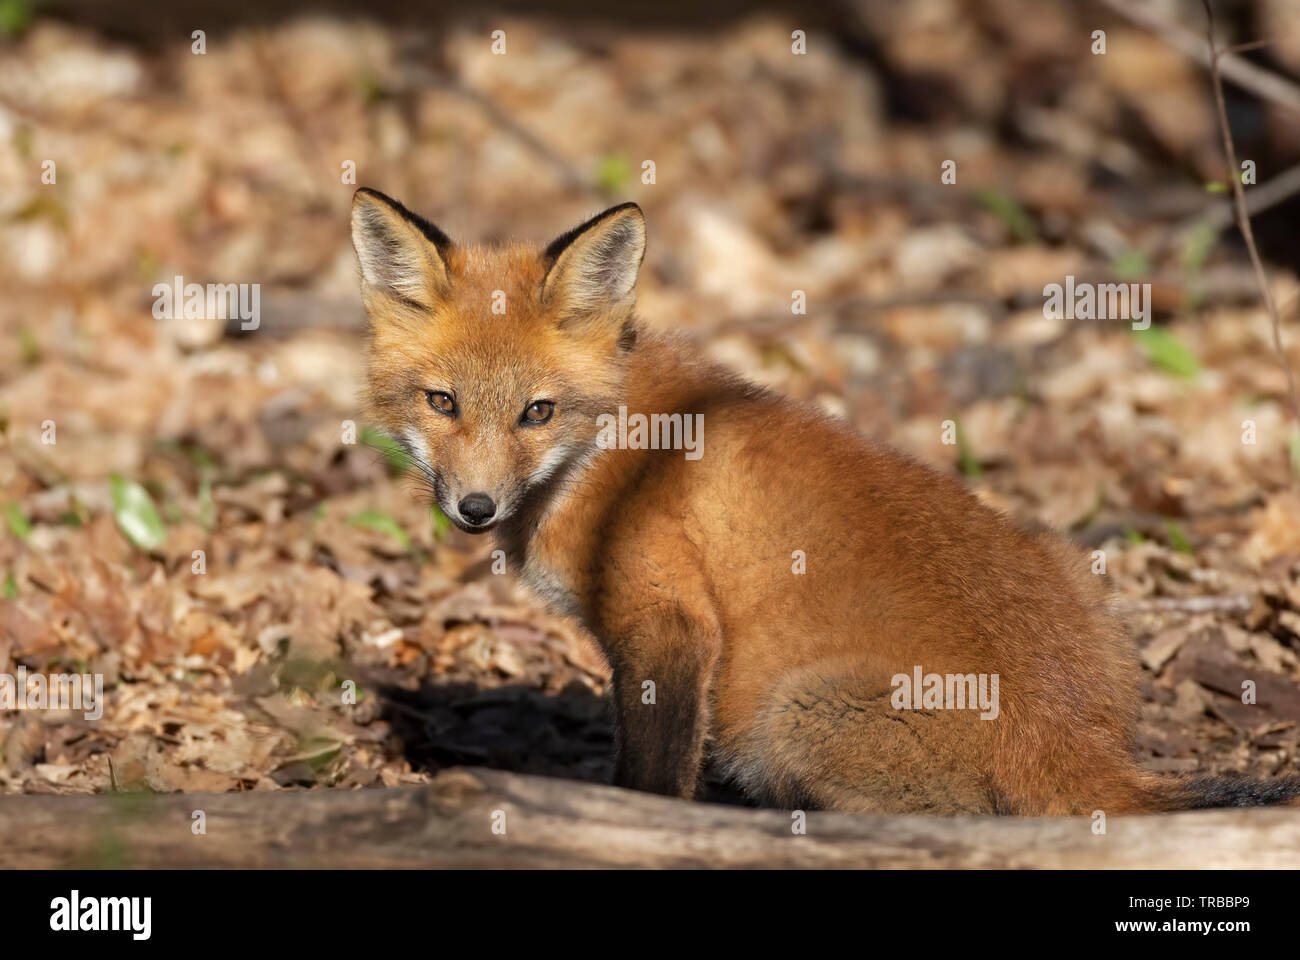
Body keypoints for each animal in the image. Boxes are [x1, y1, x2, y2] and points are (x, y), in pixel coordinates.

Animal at [350, 186, 1300, 815]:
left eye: (537, 412)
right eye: (442, 403)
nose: (474, 508)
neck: (606, 446)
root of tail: (1077, 741)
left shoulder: (669, 622)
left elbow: (653, 783)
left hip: (789, 716)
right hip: (1078, 576)